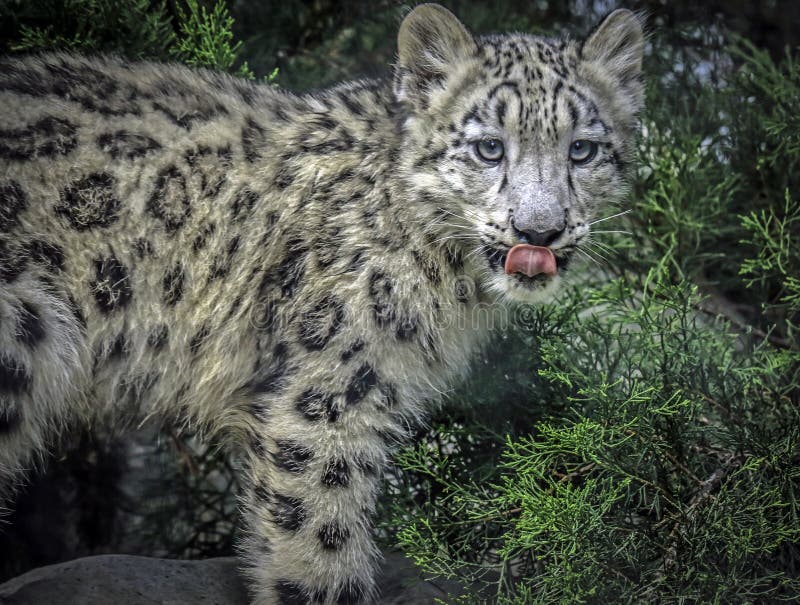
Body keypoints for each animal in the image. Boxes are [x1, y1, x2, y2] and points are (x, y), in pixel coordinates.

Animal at [0, 4, 644, 603]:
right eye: (489, 148)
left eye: (582, 150)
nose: (540, 231)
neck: (449, 285)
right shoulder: (324, 397)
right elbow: (319, 536)